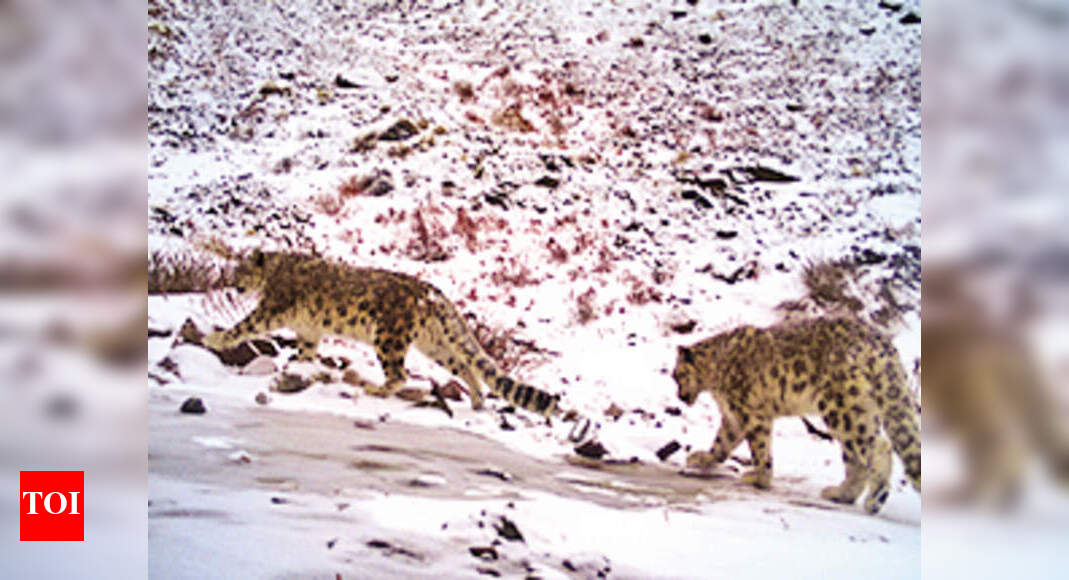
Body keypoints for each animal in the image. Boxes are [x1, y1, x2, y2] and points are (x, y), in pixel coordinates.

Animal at [204, 250, 593, 439]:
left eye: (241, 270)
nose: (234, 285)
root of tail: (431, 292)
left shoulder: (271, 309)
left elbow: (244, 325)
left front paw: (215, 337)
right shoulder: (309, 332)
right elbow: (306, 353)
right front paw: (298, 369)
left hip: (389, 336)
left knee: (400, 375)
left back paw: (374, 387)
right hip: (433, 343)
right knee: (465, 366)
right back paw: (478, 399)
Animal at [672, 317, 921, 514]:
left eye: (676, 375)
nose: (679, 396)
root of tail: (881, 344)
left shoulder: (751, 412)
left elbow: (759, 448)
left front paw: (759, 478)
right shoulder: (733, 416)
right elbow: (722, 442)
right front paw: (702, 458)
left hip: (843, 408)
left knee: (877, 447)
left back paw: (873, 499)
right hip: (859, 409)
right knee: (857, 457)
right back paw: (842, 494)